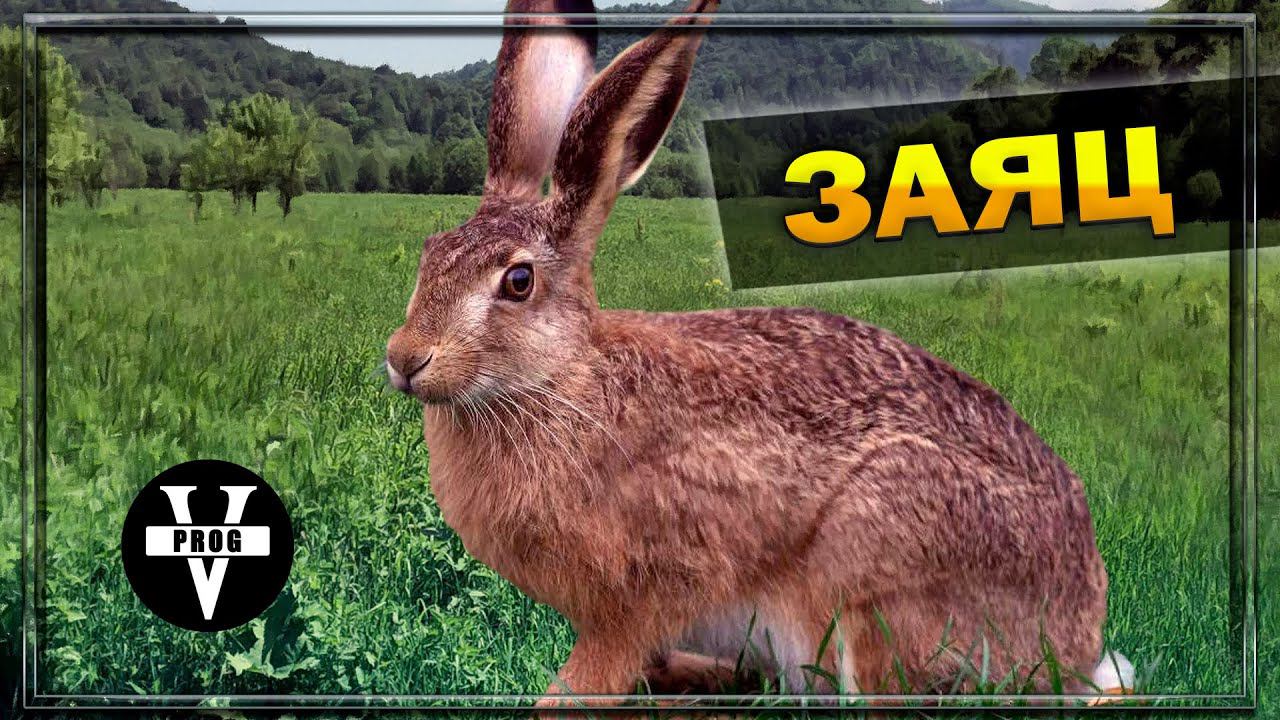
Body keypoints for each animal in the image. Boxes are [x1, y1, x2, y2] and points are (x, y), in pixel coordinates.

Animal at [386, 0, 1128, 706]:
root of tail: (1078, 636)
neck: (561, 379)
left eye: (518, 282)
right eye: (430, 253)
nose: (405, 358)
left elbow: (586, 679)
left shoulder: (643, 595)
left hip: (878, 566)